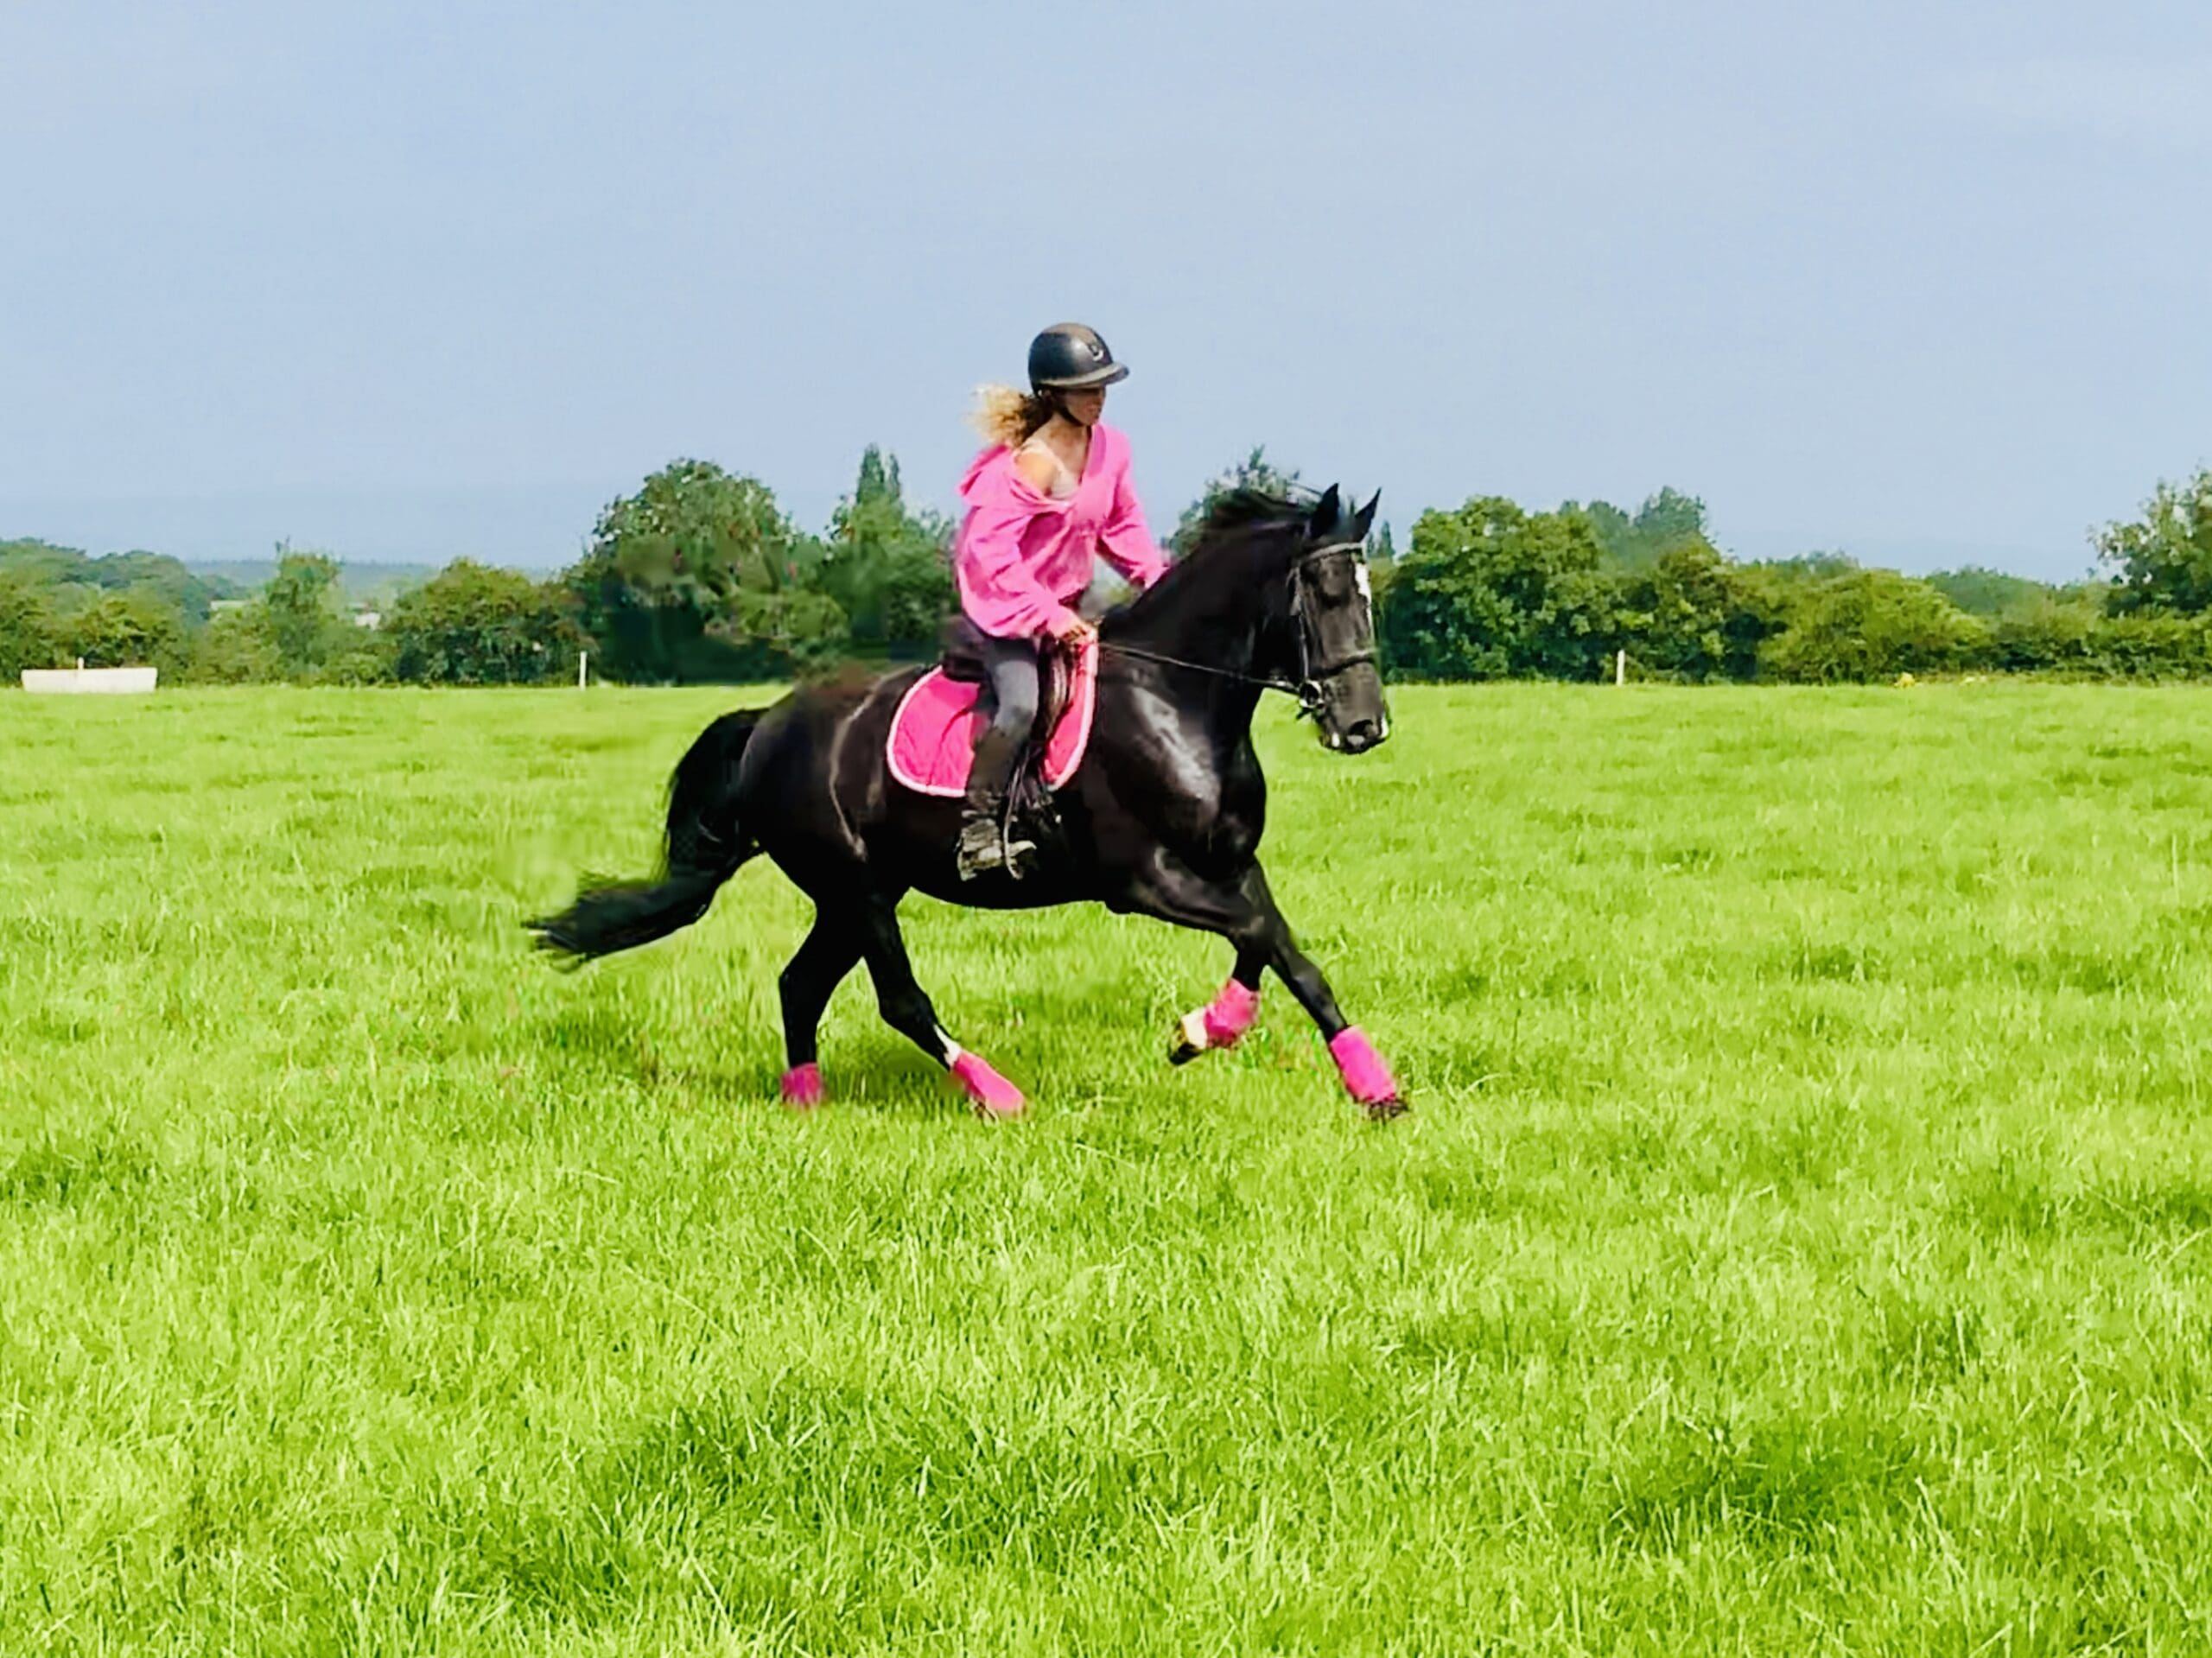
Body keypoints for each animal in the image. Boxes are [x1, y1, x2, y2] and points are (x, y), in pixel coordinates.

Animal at [529, 483, 1406, 1120]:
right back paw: (997, 1093)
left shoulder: (1232, 863)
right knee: (899, 999)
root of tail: (767, 726)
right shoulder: (1144, 880)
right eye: (1327, 592)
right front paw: (1201, 1033)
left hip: (855, 894)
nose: (1366, 726)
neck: (1176, 699)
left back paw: (806, 1101)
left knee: (800, 985)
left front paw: (1369, 1088)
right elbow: (1258, 935)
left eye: (1368, 596)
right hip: (856, 887)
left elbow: (1286, 953)